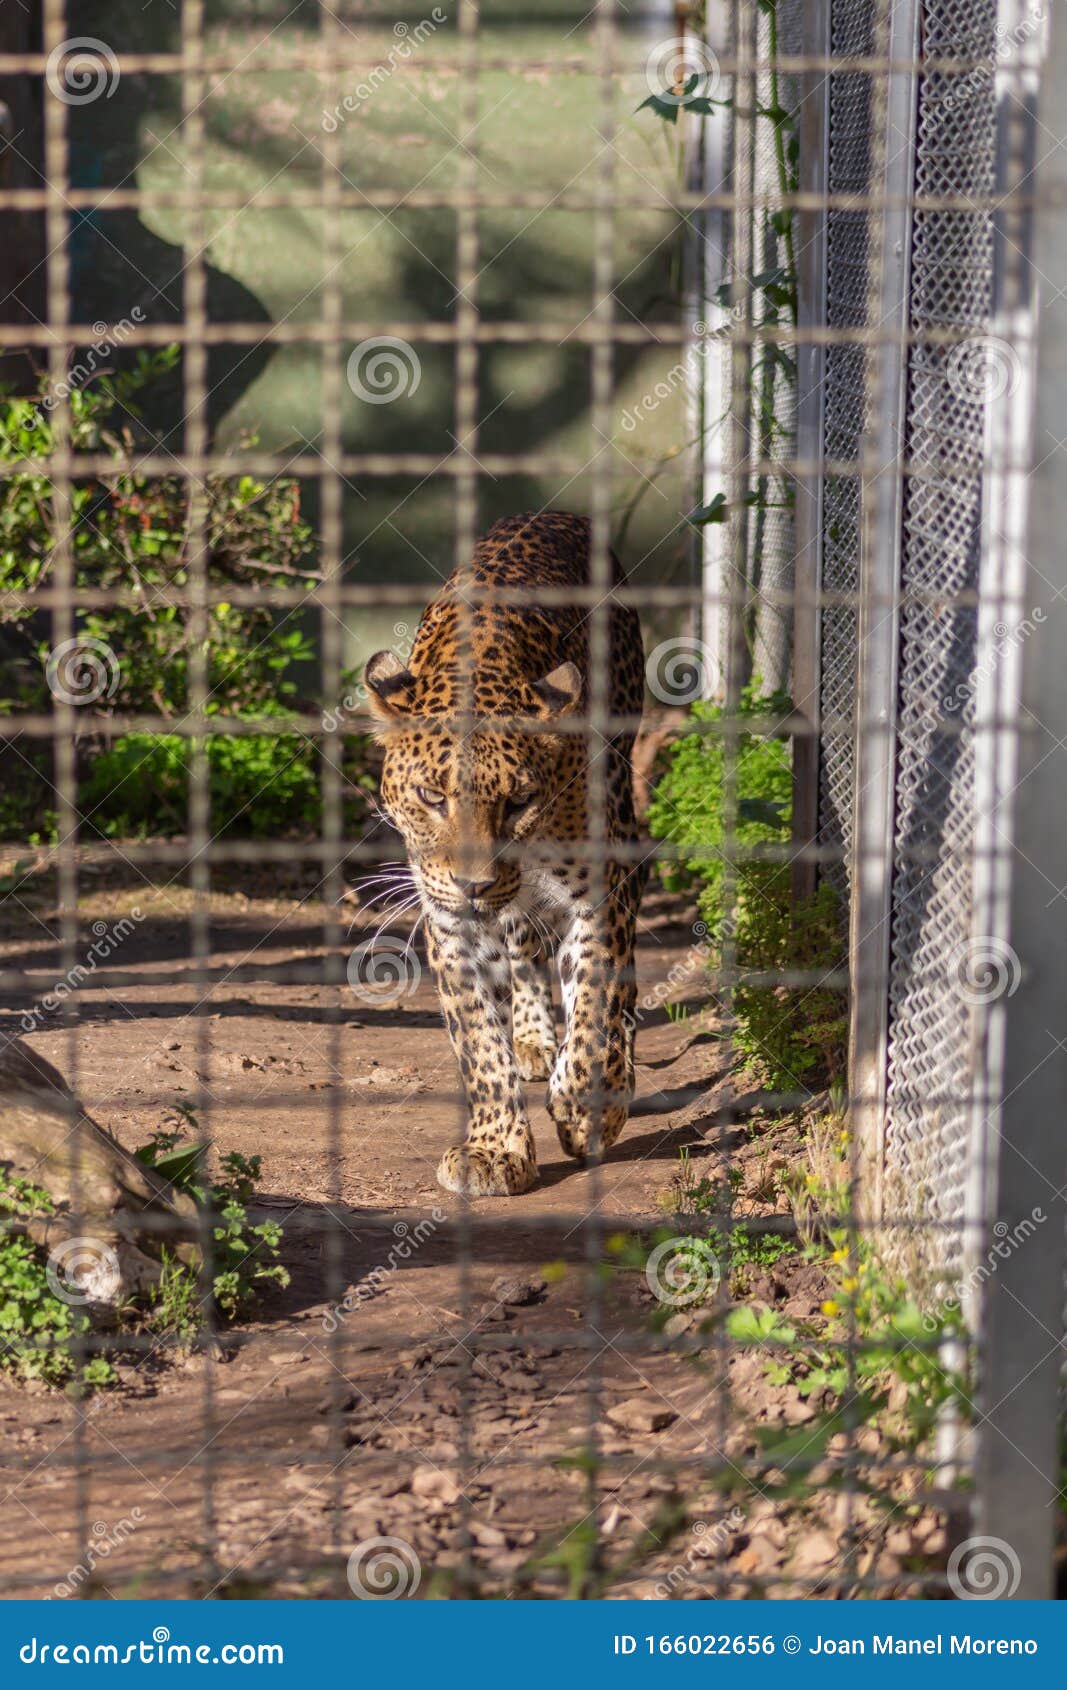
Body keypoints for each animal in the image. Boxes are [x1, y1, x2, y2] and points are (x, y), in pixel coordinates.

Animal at [363, 510, 647, 1197]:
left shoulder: (599, 893)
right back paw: (534, 1038)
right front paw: (494, 1149)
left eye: (519, 801)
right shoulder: (448, 918)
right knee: (520, 943)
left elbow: (595, 1006)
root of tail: (557, 513)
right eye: (431, 796)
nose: (475, 883)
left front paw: (587, 1106)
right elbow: (477, 1042)